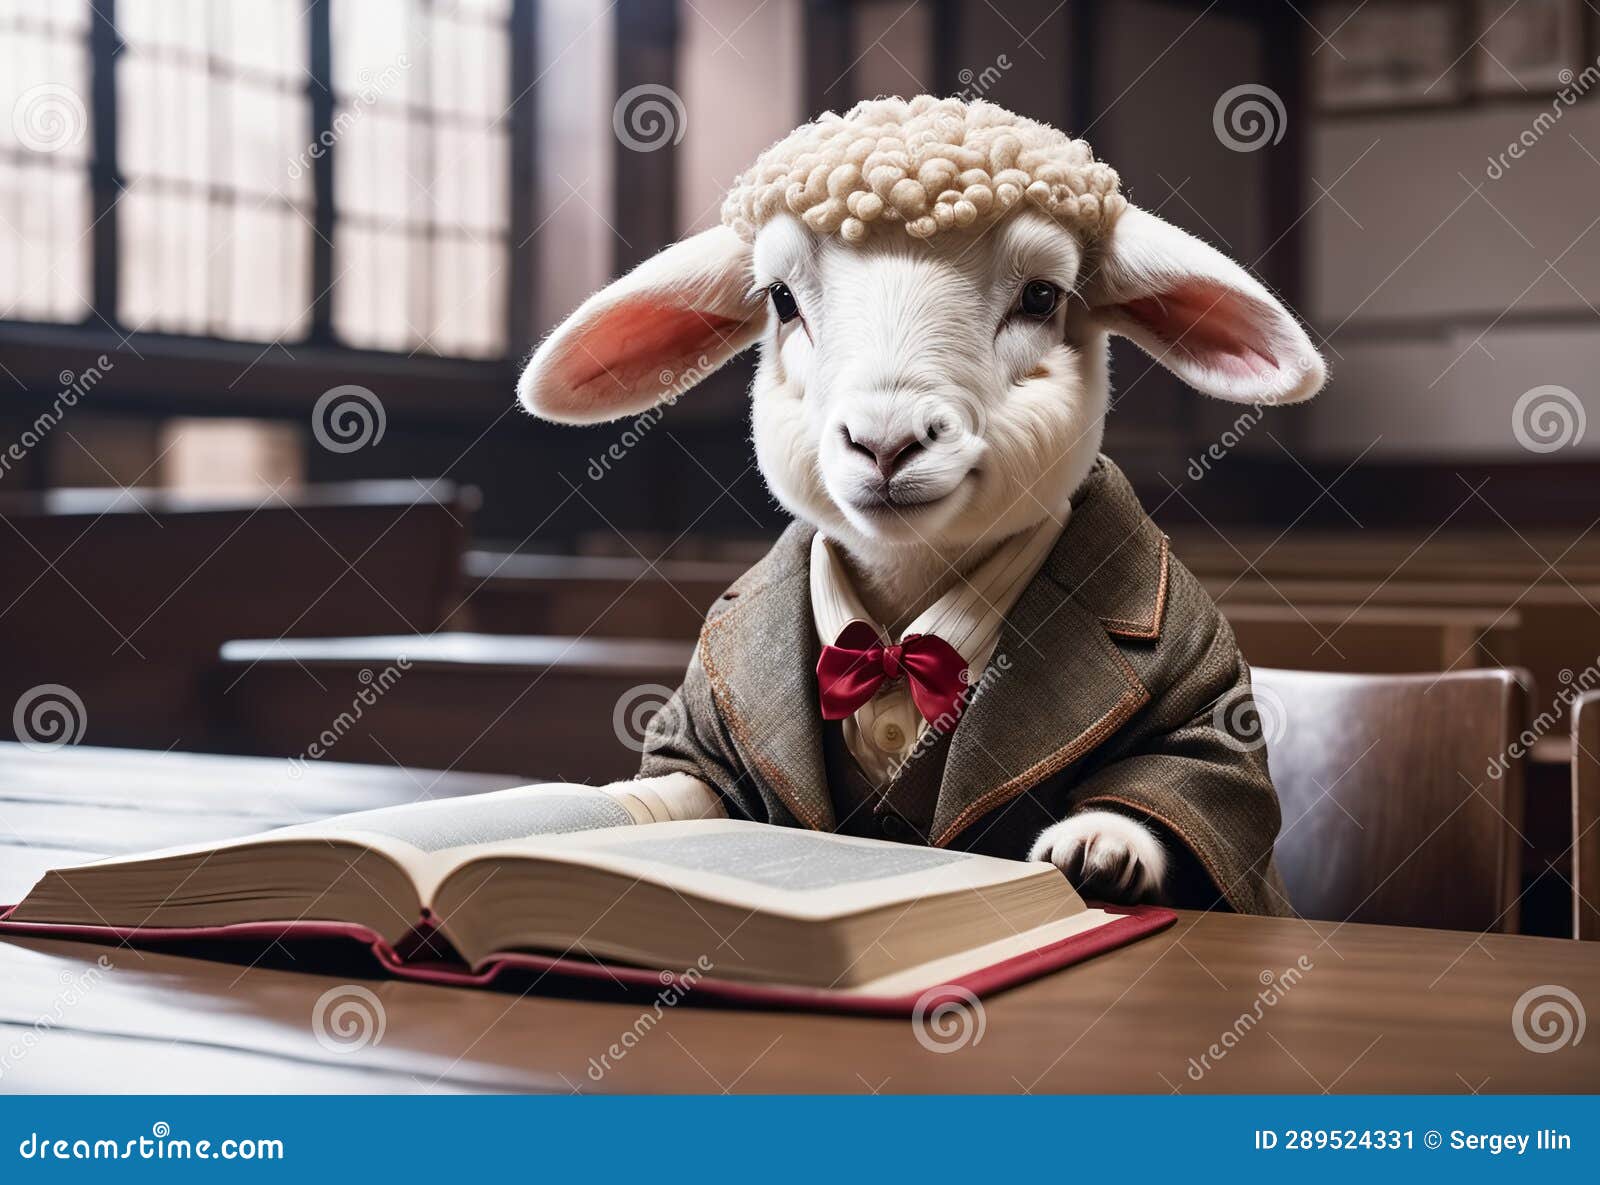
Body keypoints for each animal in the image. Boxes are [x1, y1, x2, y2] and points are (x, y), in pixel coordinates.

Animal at [516, 95, 1326, 912]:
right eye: (781, 299)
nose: (885, 442)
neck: (903, 612)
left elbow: (1194, 775)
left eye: (1041, 296)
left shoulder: (1207, 696)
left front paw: (1104, 844)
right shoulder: (710, 730)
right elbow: (684, 789)